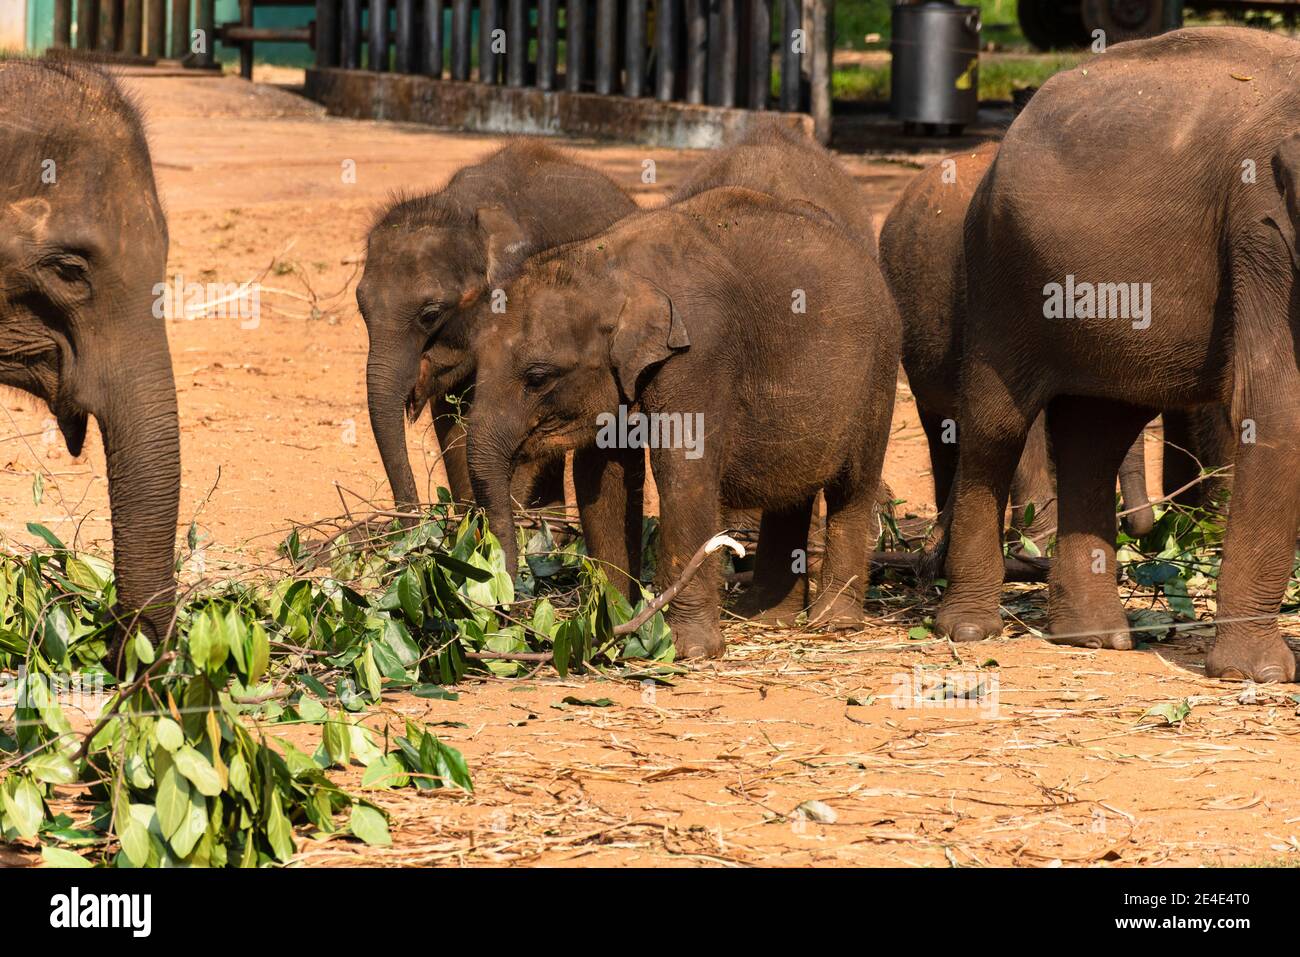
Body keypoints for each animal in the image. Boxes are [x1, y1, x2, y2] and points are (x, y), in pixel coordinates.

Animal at [464, 186, 901, 658]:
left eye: (537, 377)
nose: (507, 608)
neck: (608, 265)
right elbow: (603, 477)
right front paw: (614, 628)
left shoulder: (699, 354)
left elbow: (684, 470)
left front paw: (689, 649)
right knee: (791, 489)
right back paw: (767, 618)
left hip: (879, 372)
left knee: (853, 485)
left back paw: (833, 623)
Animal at [935, 28, 1299, 683]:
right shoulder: (1262, 229)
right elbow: (1276, 406)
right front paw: (1257, 675)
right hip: (1002, 273)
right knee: (996, 427)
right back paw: (972, 630)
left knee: (1096, 433)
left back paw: (1093, 638)